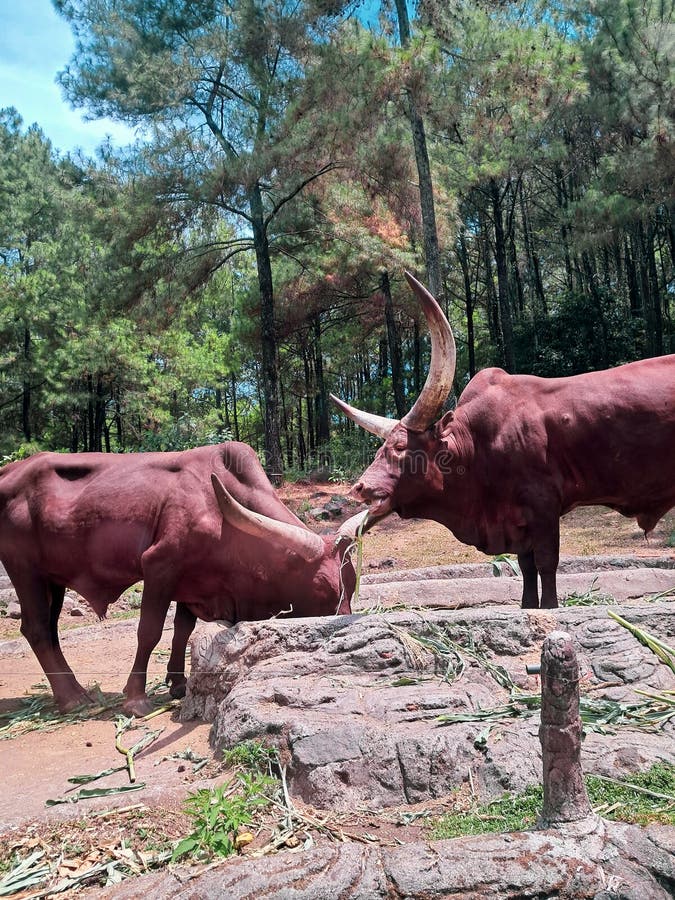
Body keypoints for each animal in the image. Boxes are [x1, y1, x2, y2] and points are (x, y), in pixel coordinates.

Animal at [0, 442, 364, 715]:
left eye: (350, 589)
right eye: (321, 592)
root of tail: (9, 471)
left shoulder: (189, 582)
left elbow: (182, 630)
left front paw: (177, 683)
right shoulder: (160, 566)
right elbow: (149, 632)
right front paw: (136, 698)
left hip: (52, 578)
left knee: (50, 630)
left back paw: (76, 690)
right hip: (24, 569)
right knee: (36, 629)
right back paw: (71, 698)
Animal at [332, 272, 675, 610]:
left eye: (401, 448)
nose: (359, 487)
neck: (478, 448)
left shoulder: (544, 506)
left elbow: (546, 563)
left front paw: (549, 607)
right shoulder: (517, 519)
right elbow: (526, 567)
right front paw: (528, 605)